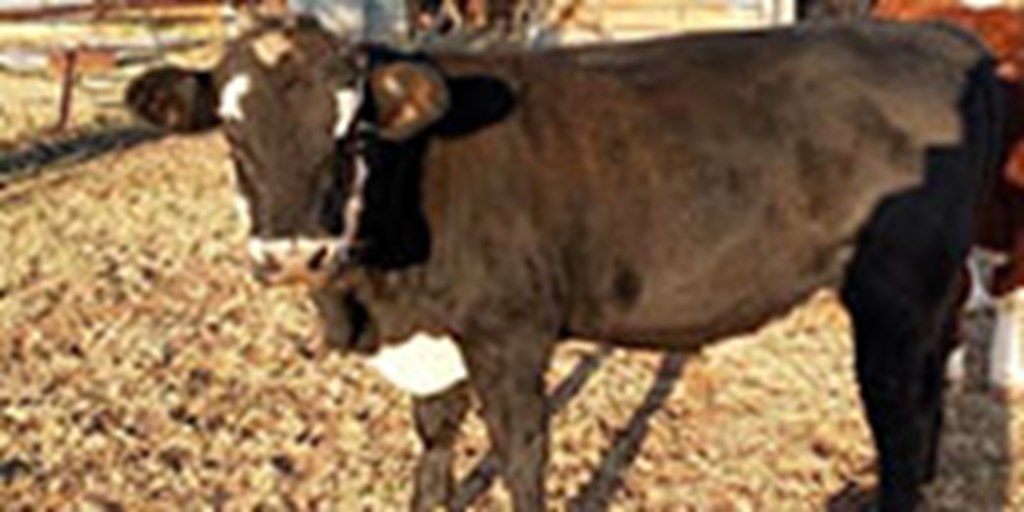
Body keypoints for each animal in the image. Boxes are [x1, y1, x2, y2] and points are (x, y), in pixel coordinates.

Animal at [124, 17, 1005, 511]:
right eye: (231, 130)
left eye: (352, 131)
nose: (293, 253)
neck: (378, 302)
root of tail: (945, 39)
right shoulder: (435, 338)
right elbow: (434, 443)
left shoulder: (509, 332)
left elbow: (520, 456)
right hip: (933, 294)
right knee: (932, 385)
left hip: (894, 292)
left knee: (896, 414)